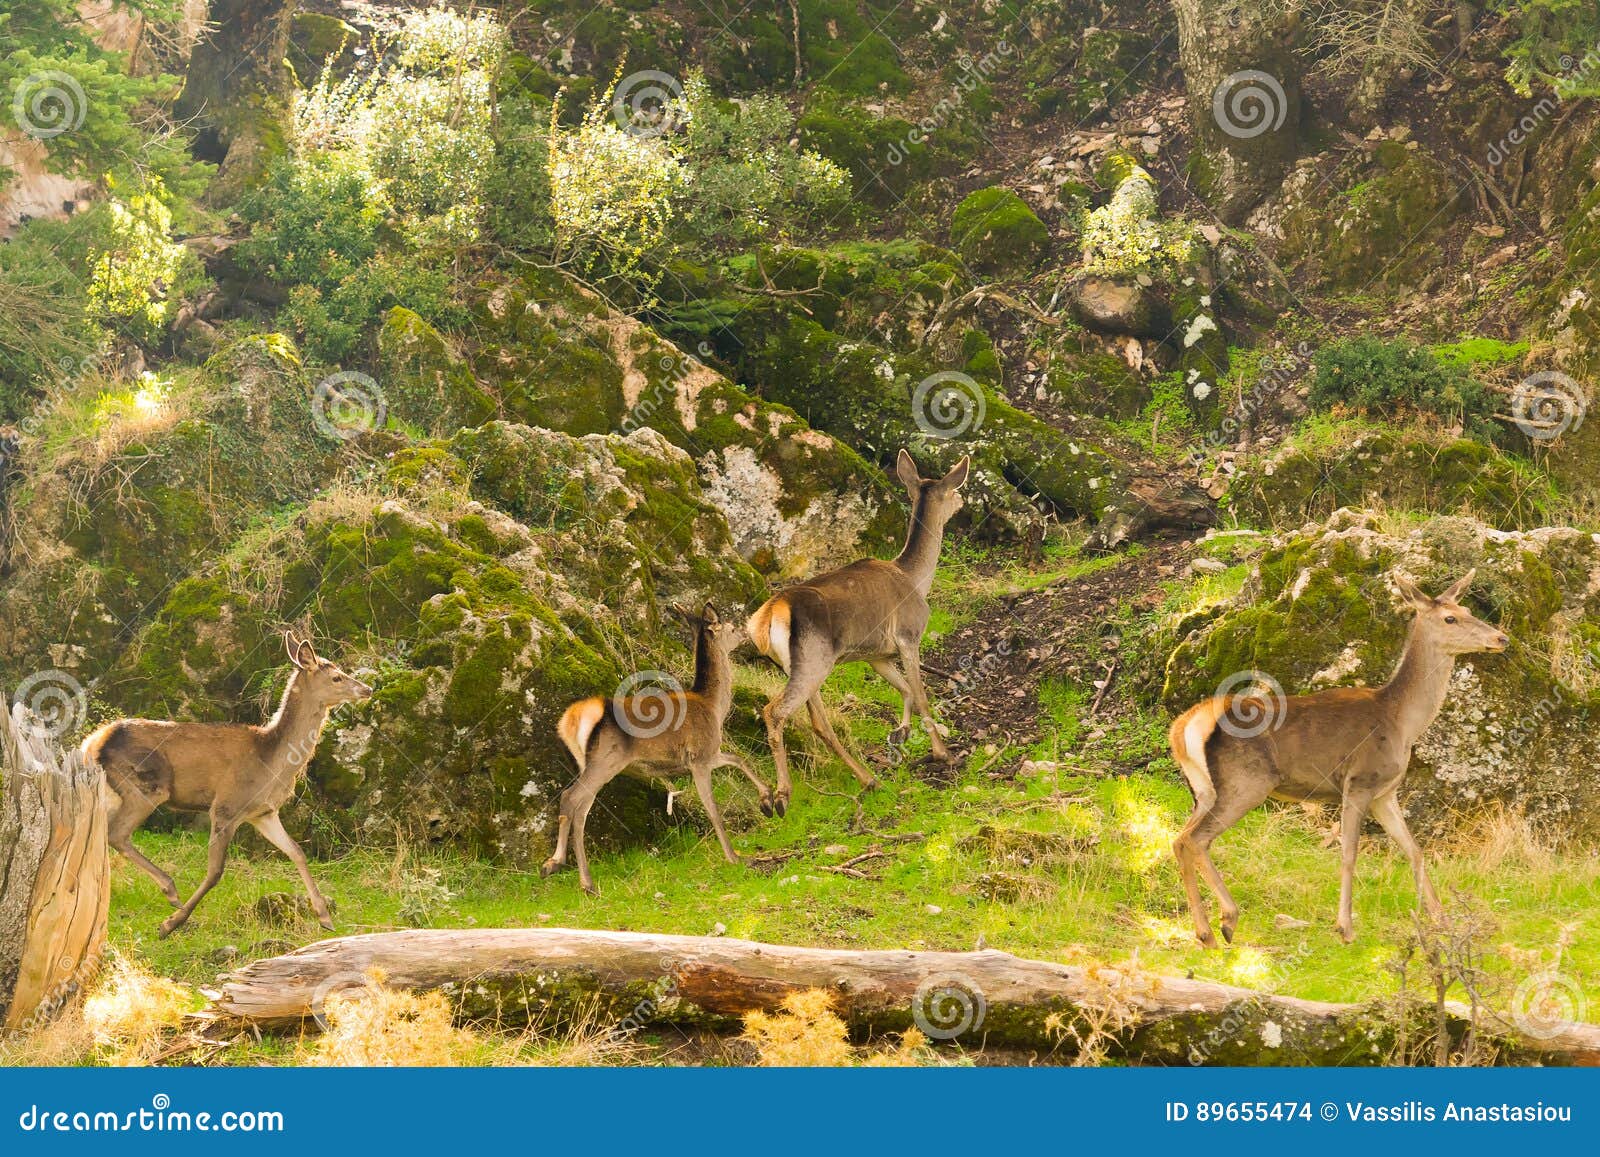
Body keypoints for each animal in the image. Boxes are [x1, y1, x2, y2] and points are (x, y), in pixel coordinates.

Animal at [83, 630, 372, 938]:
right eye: (337, 677)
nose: (368, 689)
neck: (273, 760)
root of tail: (94, 741)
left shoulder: (263, 813)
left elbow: (297, 851)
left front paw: (325, 917)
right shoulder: (226, 805)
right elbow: (215, 872)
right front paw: (171, 924)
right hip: (146, 786)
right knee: (117, 833)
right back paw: (170, 890)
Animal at [543, 604, 768, 895]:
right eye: (730, 627)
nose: (746, 635)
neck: (714, 707)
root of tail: (570, 720)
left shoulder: (710, 754)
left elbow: (737, 759)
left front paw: (769, 801)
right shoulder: (699, 756)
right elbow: (712, 806)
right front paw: (734, 856)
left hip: (586, 763)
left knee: (574, 803)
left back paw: (554, 864)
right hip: (606, 760)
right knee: (573, 800)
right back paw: (584, 881)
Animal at [747, 450, 969, 815]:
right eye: (952, 489)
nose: (962, 501)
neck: (916, 581)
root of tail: (766, 619)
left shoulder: (876, 654)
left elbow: (904, 689)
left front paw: (899, 734)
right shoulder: (909, 636)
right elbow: (922, 694)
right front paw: (943, 754)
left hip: (800, 666)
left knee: (820, 723)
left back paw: (868, 779)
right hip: (814, 660)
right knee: (775, 712)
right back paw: (779, 797)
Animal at [1168, 570, 1509, 948]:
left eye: (1466, 609)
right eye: (1450, 618)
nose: (1502, 637)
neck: (1402, 722)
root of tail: (1186, 725)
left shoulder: (1385, 793)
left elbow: (1414, 851)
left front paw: (1442, 920)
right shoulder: (1360, 779)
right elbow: (1349, 853)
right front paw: (1345, 927)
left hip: (1204, 789)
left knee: (1180, 839)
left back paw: (1204, 932)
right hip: (1246, 782)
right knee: (1196, 839)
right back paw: (1227, 919)